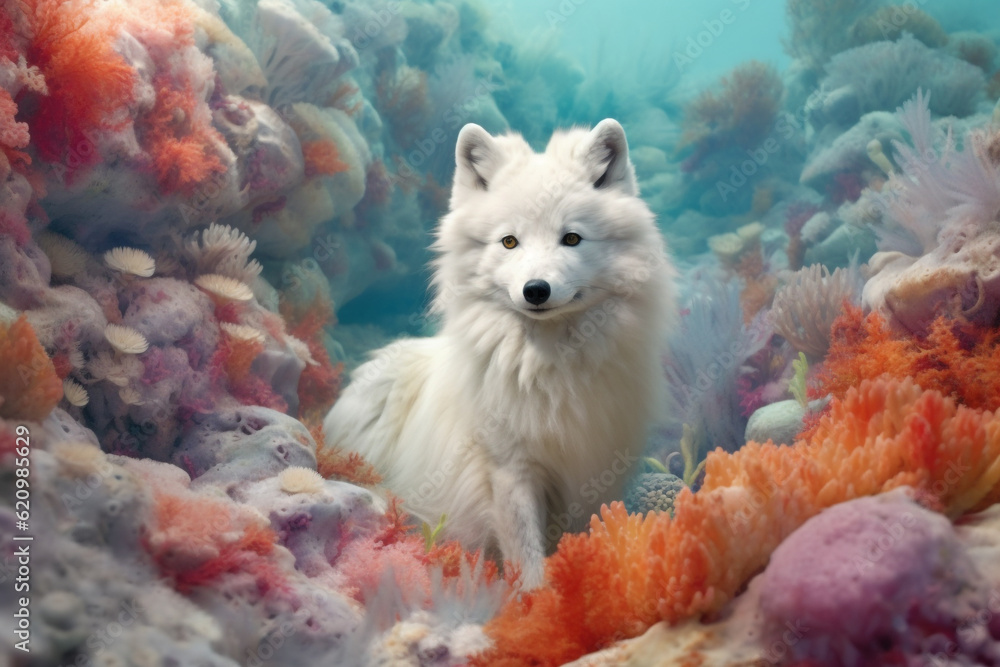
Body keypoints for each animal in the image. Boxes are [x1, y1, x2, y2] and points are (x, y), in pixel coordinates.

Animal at [324, 119, 676, 587]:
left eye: (572, 239)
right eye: (509, 242)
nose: (536, 290)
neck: (550, 367)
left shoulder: (593, 475)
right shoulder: (509, 470)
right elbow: (526, 559)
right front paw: (537, 603)